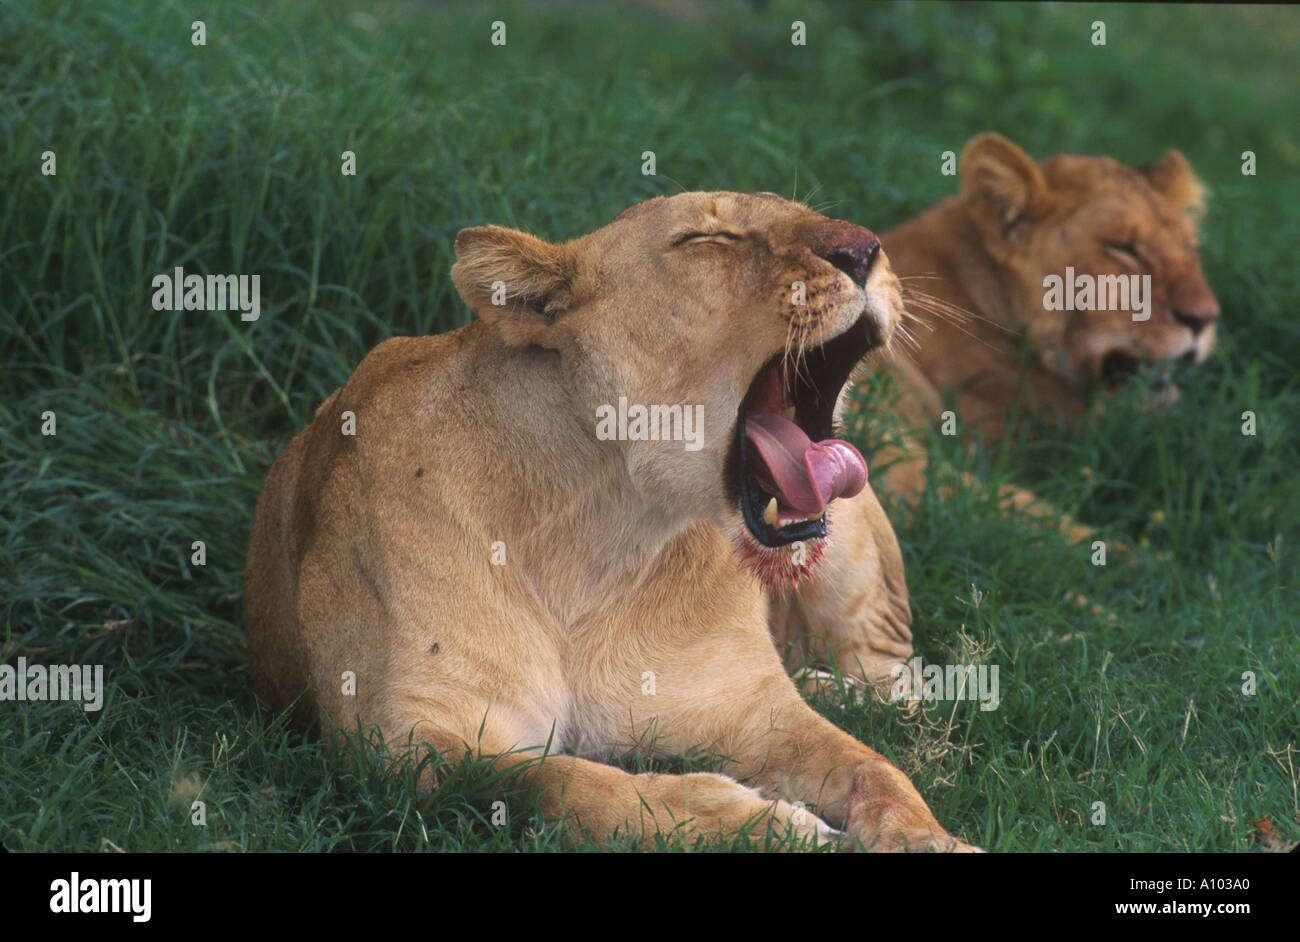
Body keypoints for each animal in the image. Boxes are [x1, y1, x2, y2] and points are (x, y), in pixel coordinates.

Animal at [243, 191, 975, 851]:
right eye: (709, 239)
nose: (865, 249)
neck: (604, 530)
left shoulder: (753, 710)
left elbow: (876, 768)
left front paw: (928, 839)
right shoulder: (402, 742)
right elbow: (564, 785)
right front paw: (781, 827)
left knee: (893, 675)